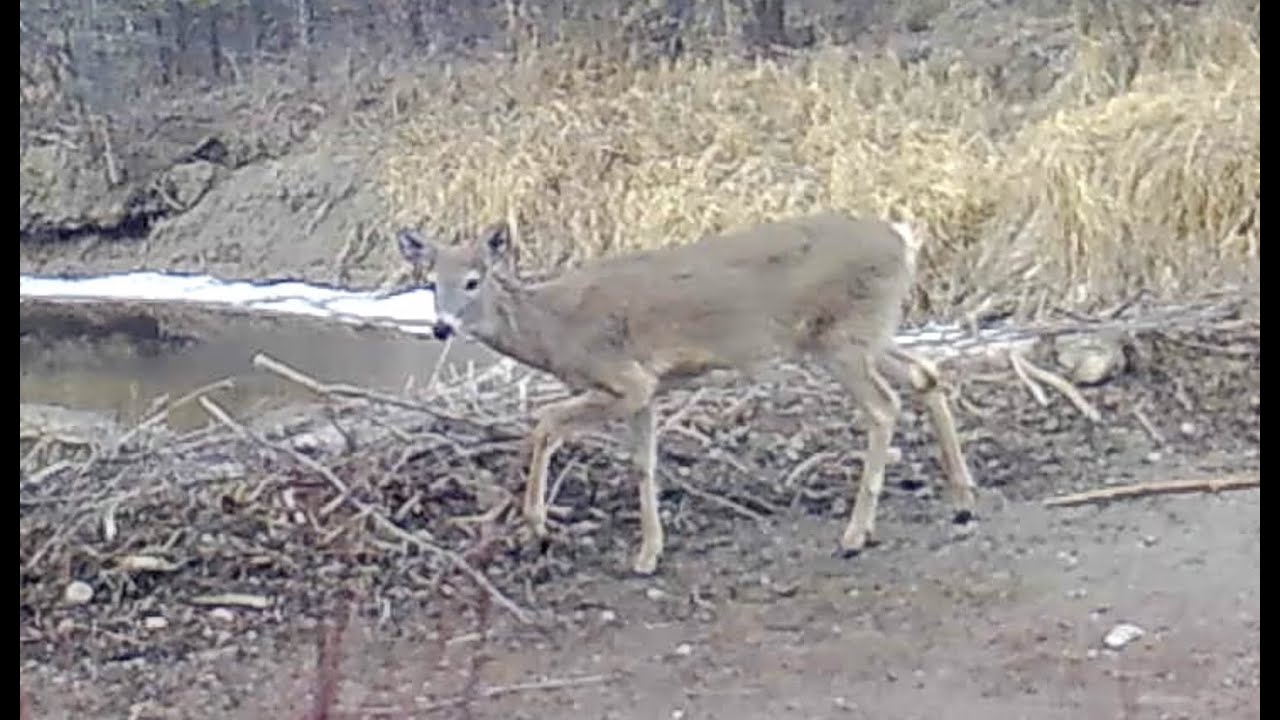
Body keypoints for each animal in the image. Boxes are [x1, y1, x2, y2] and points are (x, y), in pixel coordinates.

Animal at [396, 212, 978, 576]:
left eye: (473, 281)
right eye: (430, 283)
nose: (442, 328)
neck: (554, 329)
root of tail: (903, 238)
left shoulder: (624, 379)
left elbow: (544, 423)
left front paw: (539, 528)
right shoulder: (649, 390)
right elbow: (644, 464)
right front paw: (648, 554)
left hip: (842, 337)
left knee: (883, 406)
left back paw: (856, 534)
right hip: (867, 332)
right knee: (928, 374)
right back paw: (963, 502)